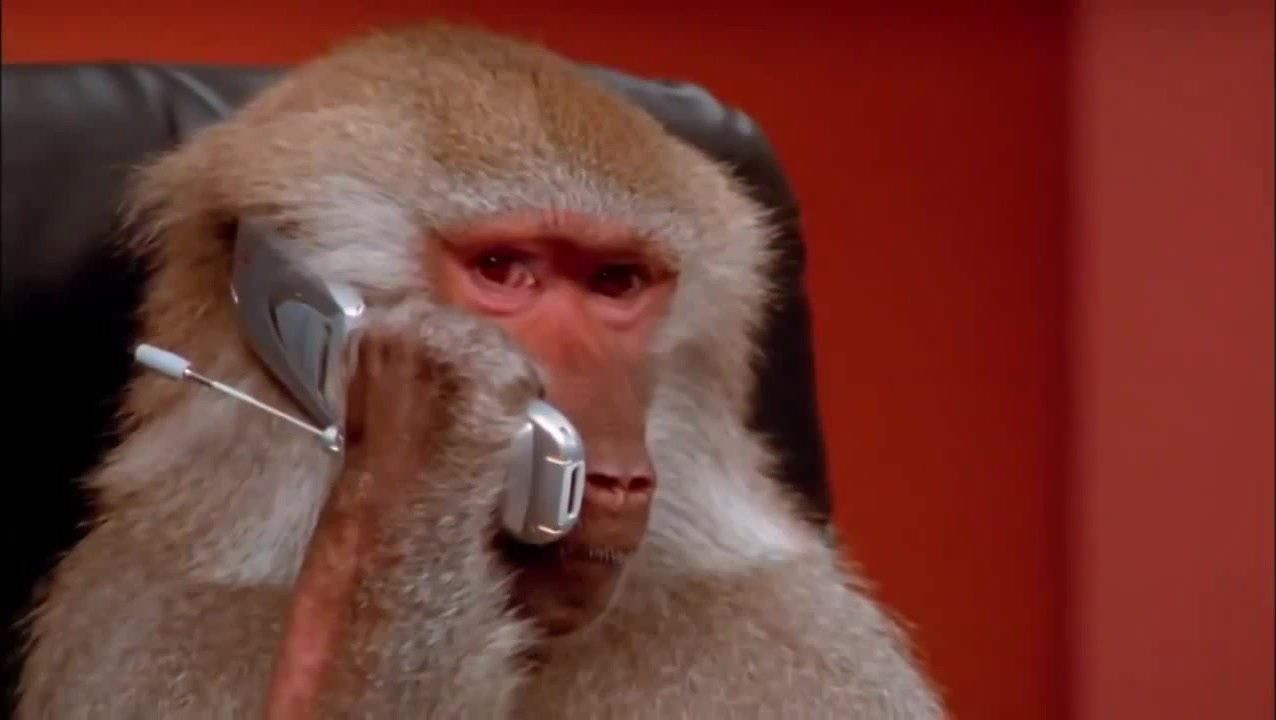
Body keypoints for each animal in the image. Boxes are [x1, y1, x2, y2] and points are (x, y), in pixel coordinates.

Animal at [15, 24, 943, 719]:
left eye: (617, 283)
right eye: (503, 270)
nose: (613, 473)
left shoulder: (797, 630)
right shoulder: (147, 623)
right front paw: (424, 447)